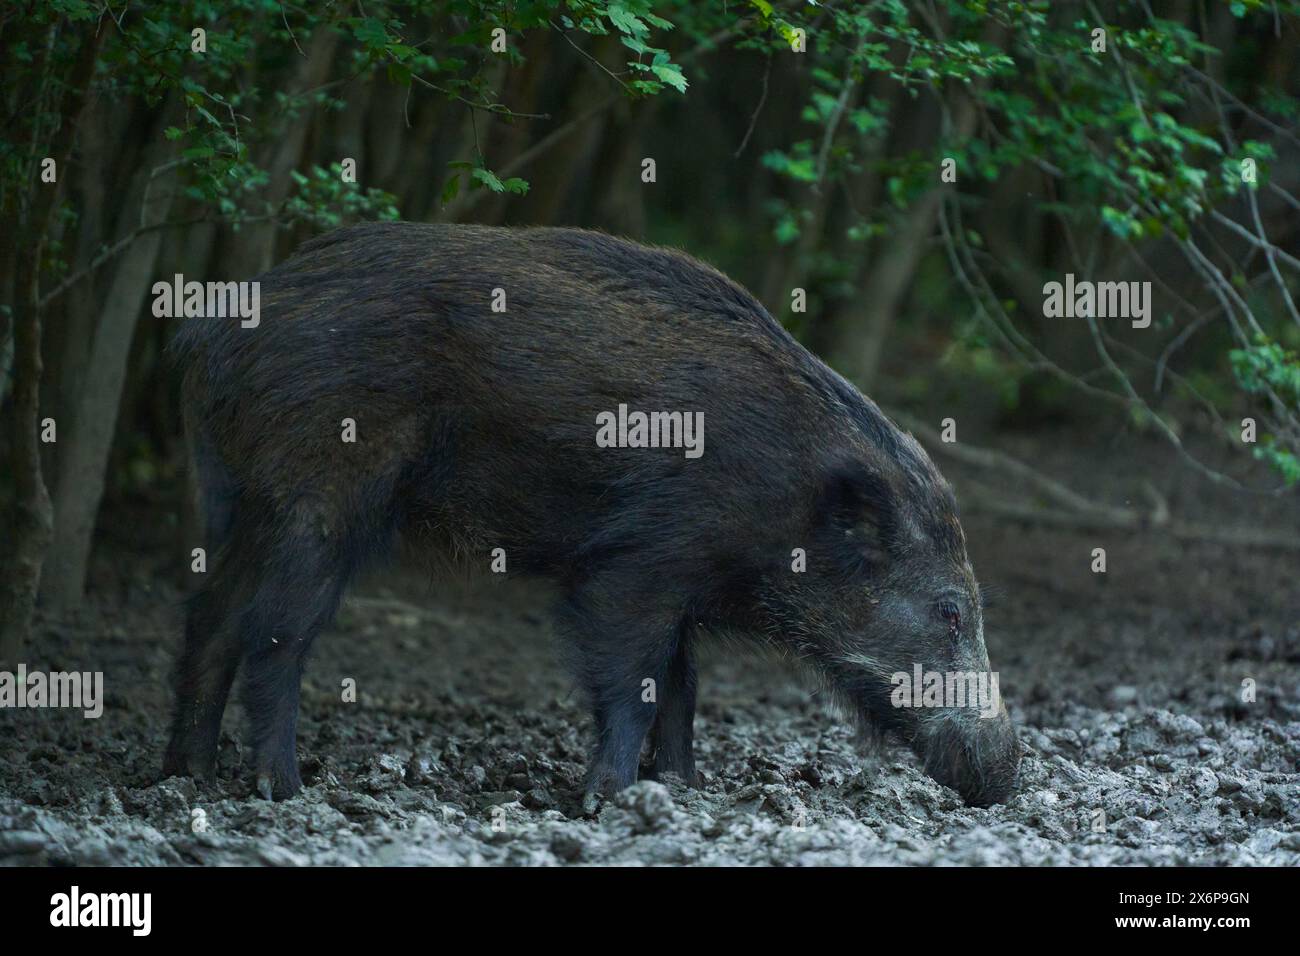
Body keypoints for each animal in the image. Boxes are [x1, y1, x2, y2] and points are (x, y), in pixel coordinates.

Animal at [163, 222, 1021, 807]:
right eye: (951, 611)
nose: (1007, 774)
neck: (788, 502)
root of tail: (208, 335)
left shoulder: (681, 587)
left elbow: (682, 689)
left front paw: (680, 788)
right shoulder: (633, 567)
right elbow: (634, 679)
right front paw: (609, 797)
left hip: (247, 503)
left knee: (209, 617)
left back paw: (188, 777)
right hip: (317, 496)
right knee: (275, 633)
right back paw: (282, 788)